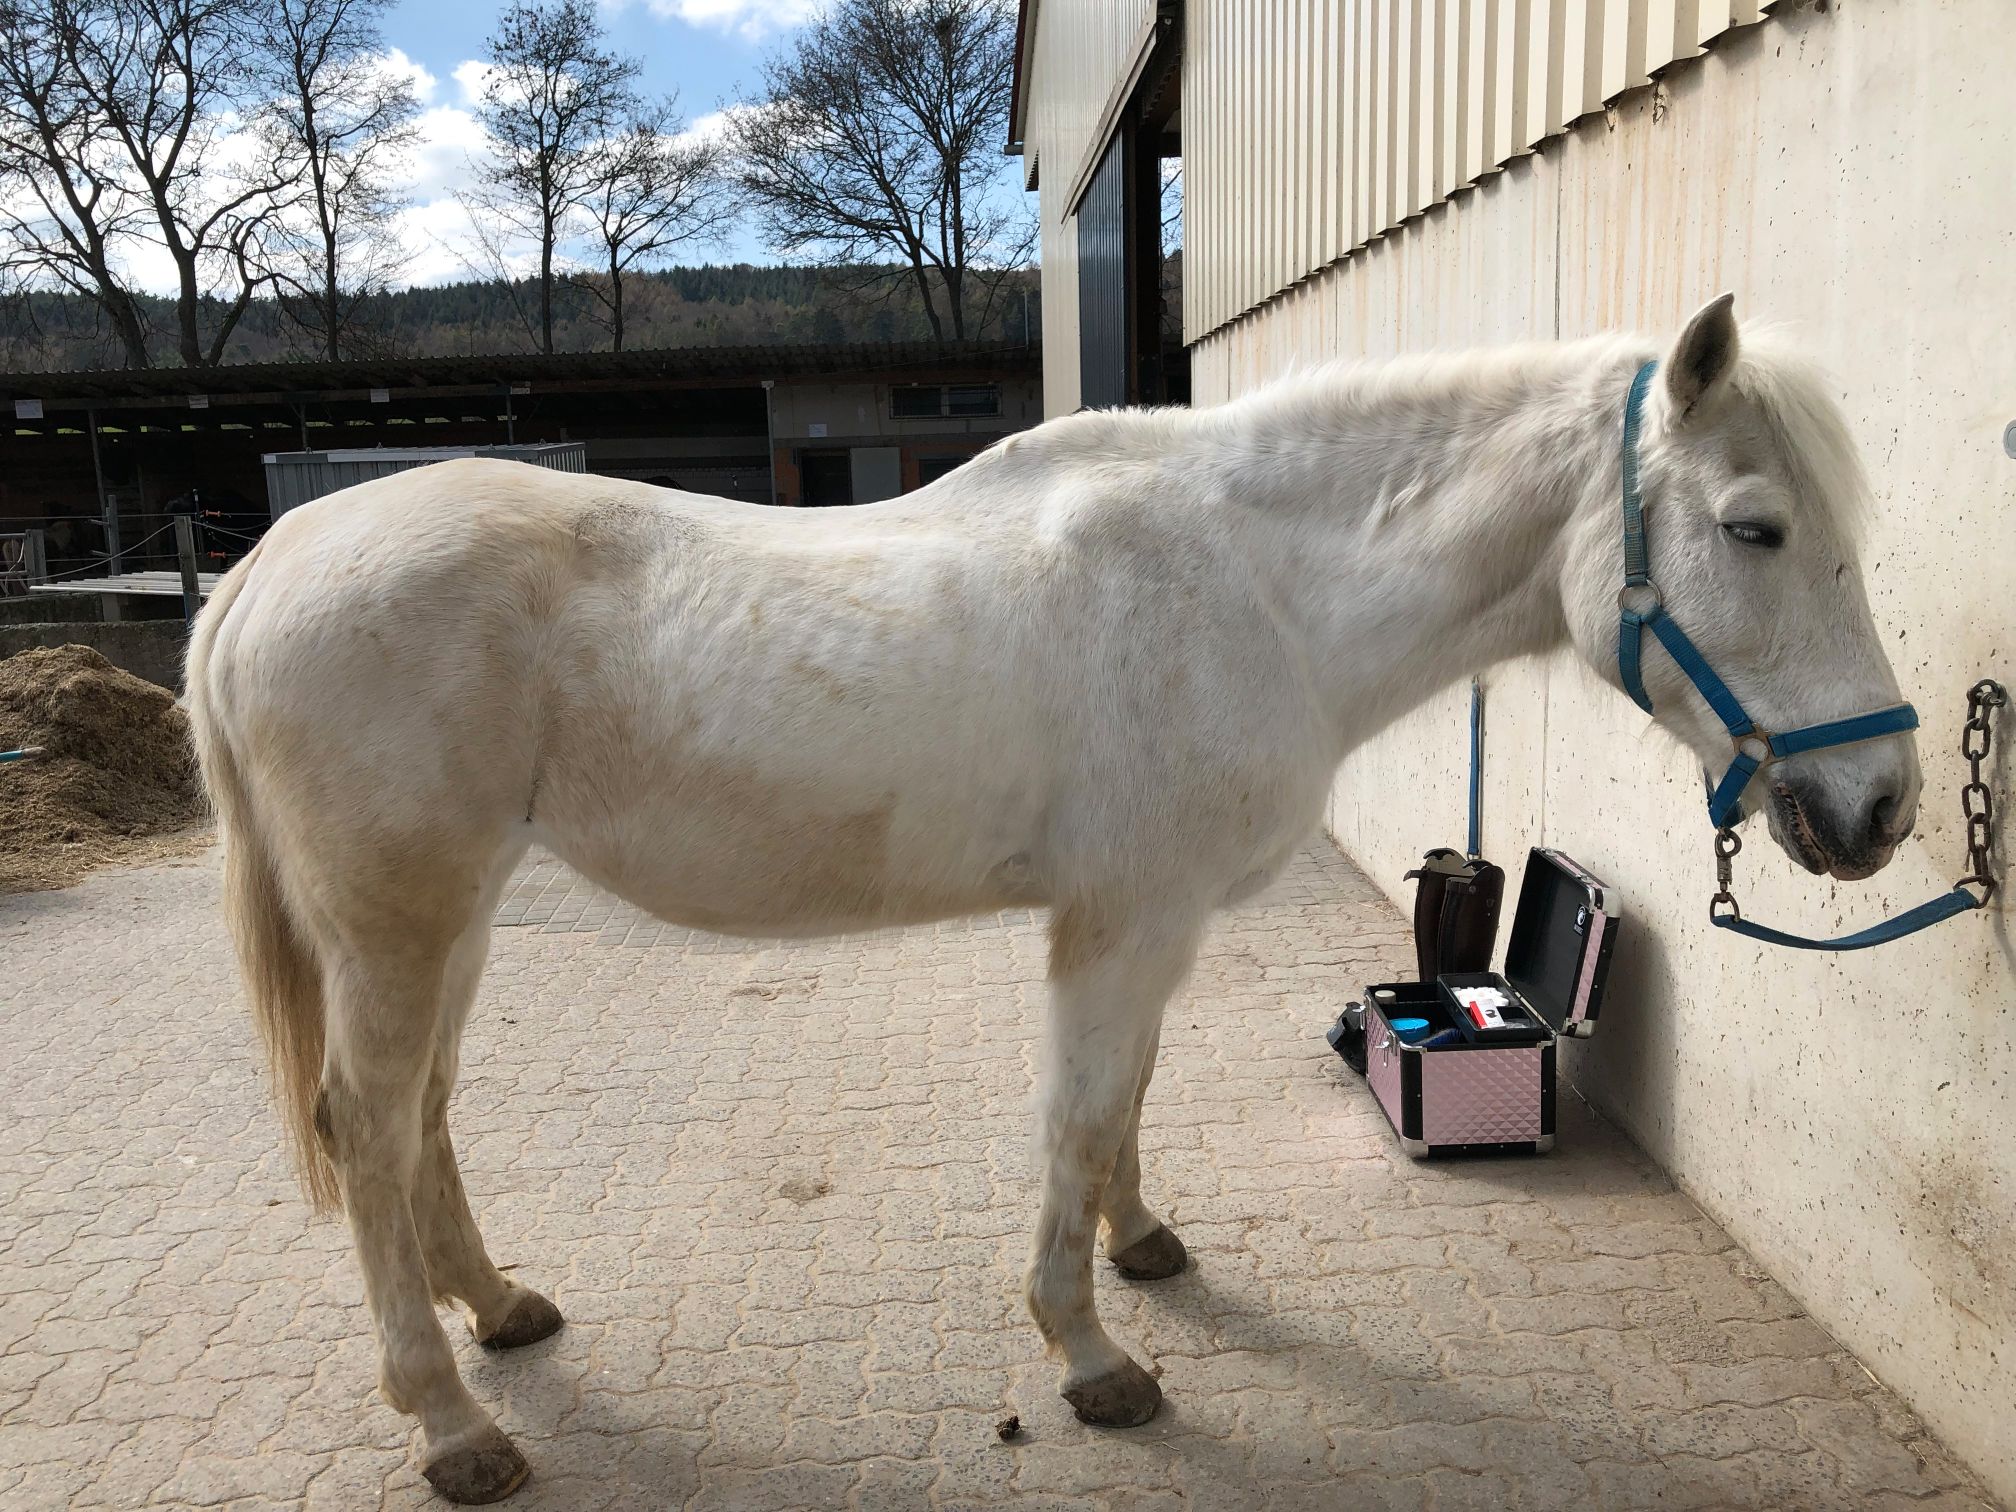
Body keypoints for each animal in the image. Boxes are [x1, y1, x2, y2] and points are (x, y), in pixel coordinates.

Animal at [185, 295, 1921, 1502]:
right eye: (1754, 527)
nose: (1882, 806)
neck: (1253, 586)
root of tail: (265, 566)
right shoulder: (1119, 923)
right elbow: (1077, 1121)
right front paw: (1092, 1358)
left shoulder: (1153, 928)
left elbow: (1126, 1104)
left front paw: (1141, 1247)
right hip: (400, 923)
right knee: (368, 1127)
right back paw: (452, 1425)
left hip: (455, 919)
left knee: (421, 1121)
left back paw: (499, 1314)